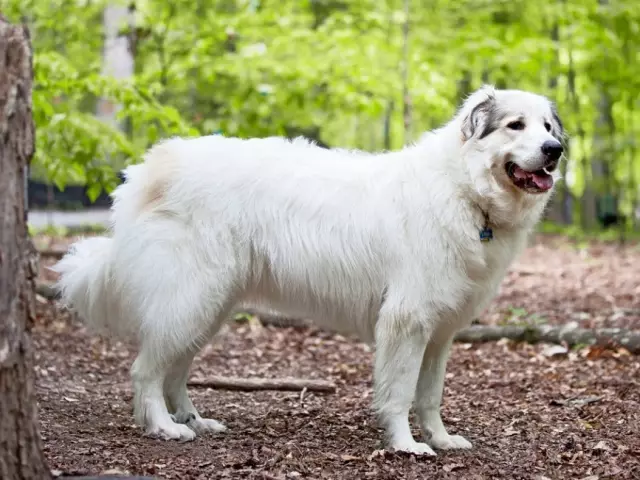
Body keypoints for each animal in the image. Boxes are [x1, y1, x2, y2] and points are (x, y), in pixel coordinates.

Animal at [53, 84, 564, 456]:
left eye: (546, 125)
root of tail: (151, 167)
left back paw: (195, 420)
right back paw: (163, 427)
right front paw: (406, 446)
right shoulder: (407, 322)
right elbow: (400, 392)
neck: (465, 191)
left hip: (207, 307)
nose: (555, 148)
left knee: (175, 371)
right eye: (515, 125)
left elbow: (430, 395)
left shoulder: (439, 333)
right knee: (146, 371)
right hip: (190, 298)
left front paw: (439, 438)